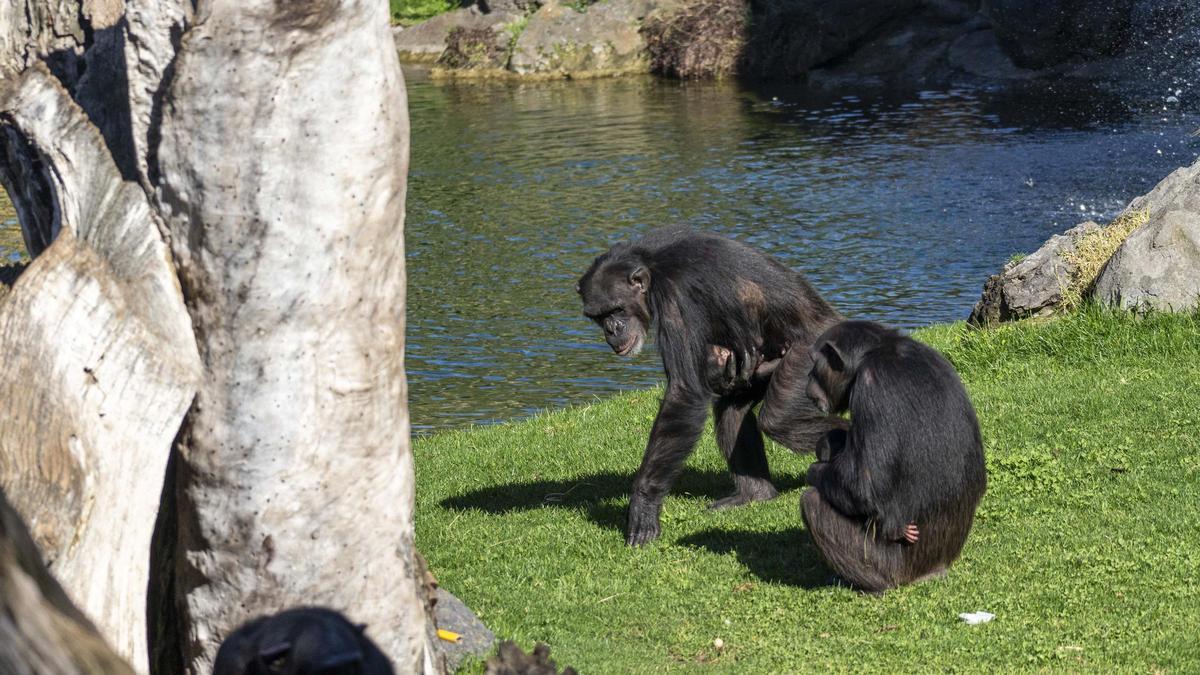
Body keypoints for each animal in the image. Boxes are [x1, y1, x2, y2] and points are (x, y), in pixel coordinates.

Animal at [578, 228, 844, 542]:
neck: (651, 268)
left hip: (810, 357)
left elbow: (684, 391)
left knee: (780, 420)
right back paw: (755, 495)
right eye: (598, 317)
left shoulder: (676, 299)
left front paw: (643, 505)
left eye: (617, 309)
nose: (611, 329)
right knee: (731, 413)